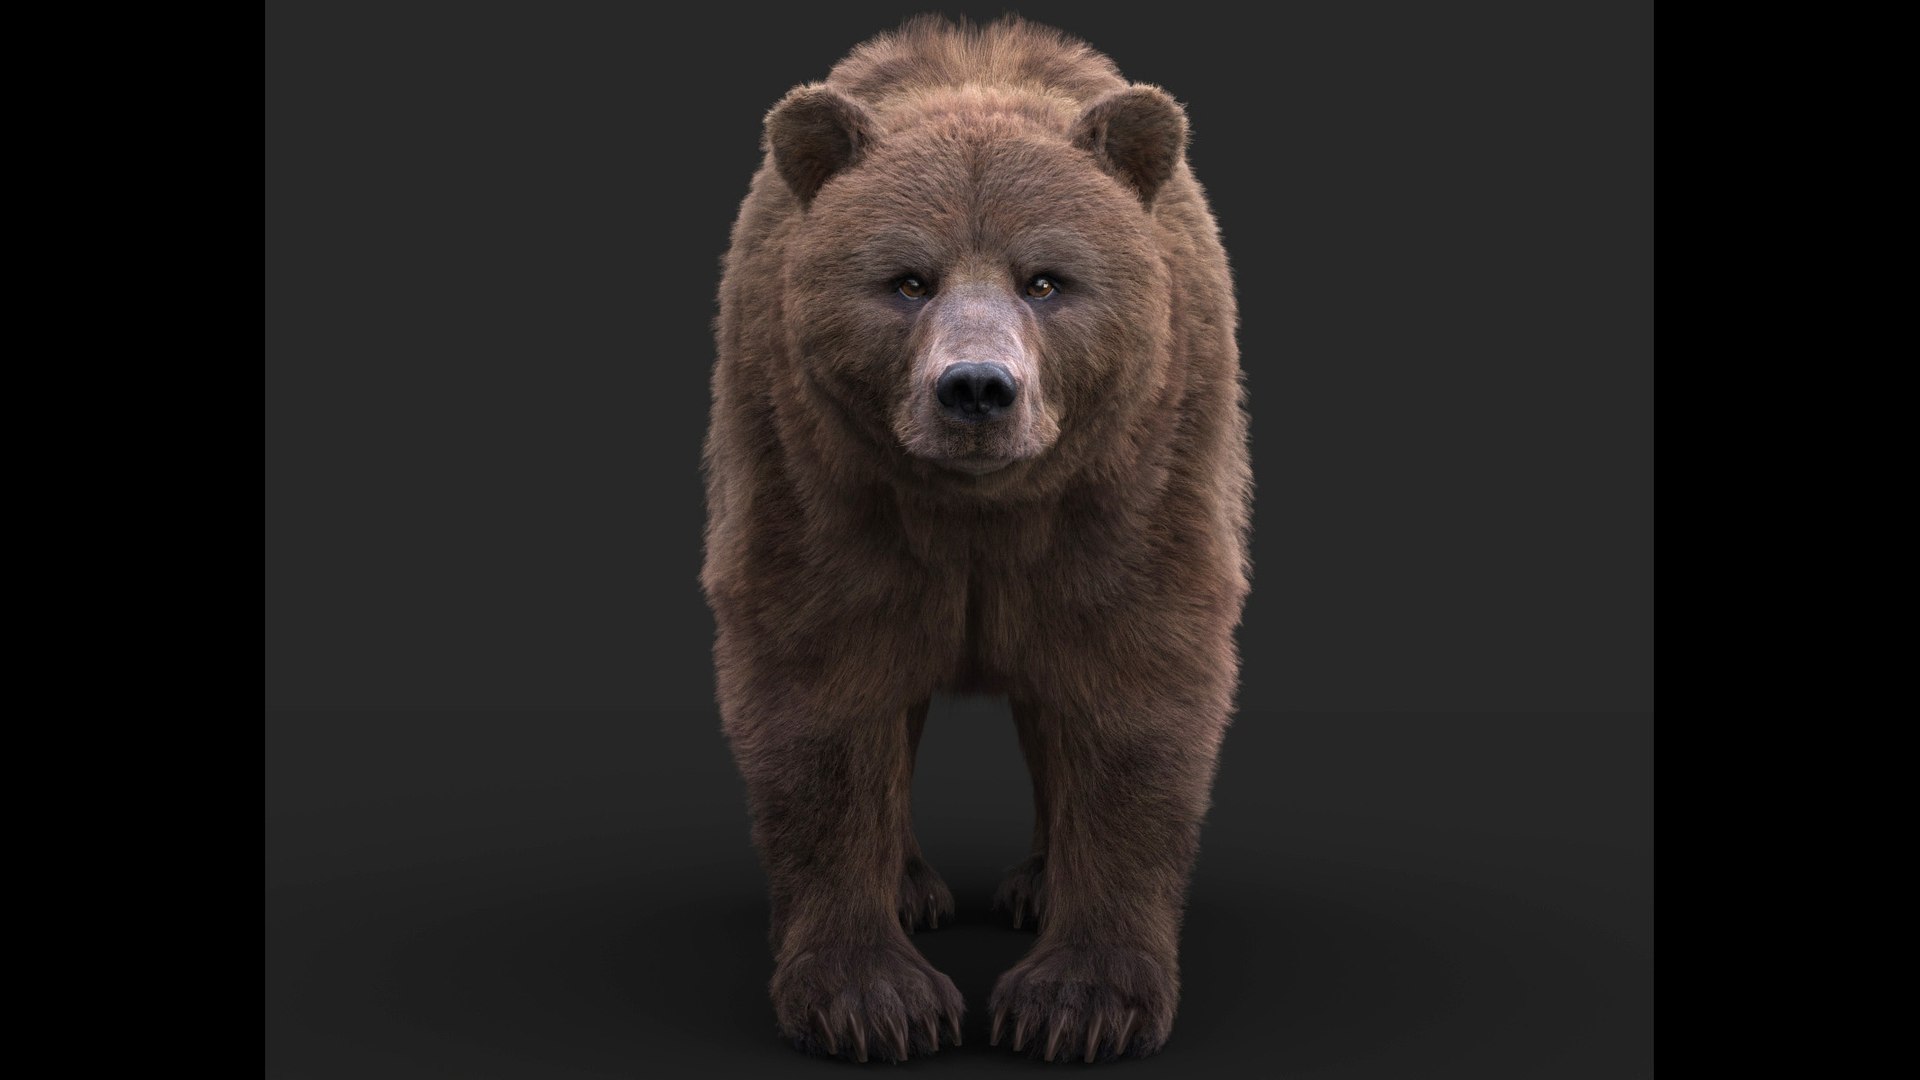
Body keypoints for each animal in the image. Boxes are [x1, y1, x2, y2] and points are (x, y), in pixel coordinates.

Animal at [700, 13, 1252, 1065]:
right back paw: (913, 887)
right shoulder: (815, 470)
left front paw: (1079, 1002)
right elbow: (822, 684)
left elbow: (1131, 681)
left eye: (1047, 280)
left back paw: (1037, 884)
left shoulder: (1138, 474)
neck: (980, 509)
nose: (977, 389)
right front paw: (874, 999)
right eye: (907, 281)